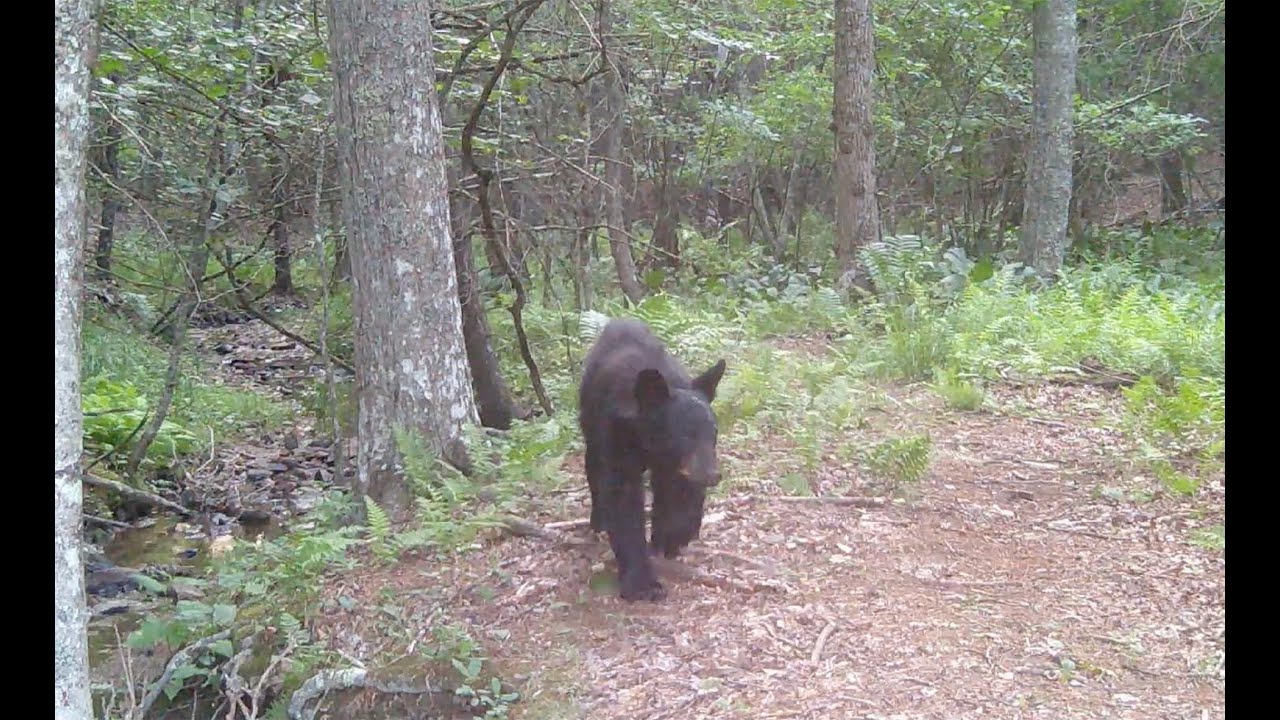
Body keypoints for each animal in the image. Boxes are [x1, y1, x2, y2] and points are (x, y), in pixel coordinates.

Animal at [578, 318, 727, 601]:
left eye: (714, 432)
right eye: (685, 434)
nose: (713, 475)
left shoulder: (678, 465)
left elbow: (678, 492)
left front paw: (674, 537)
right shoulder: (616, 438)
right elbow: (622, 500)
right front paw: (642, 584)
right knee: (592, 466)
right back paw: (598, 519)